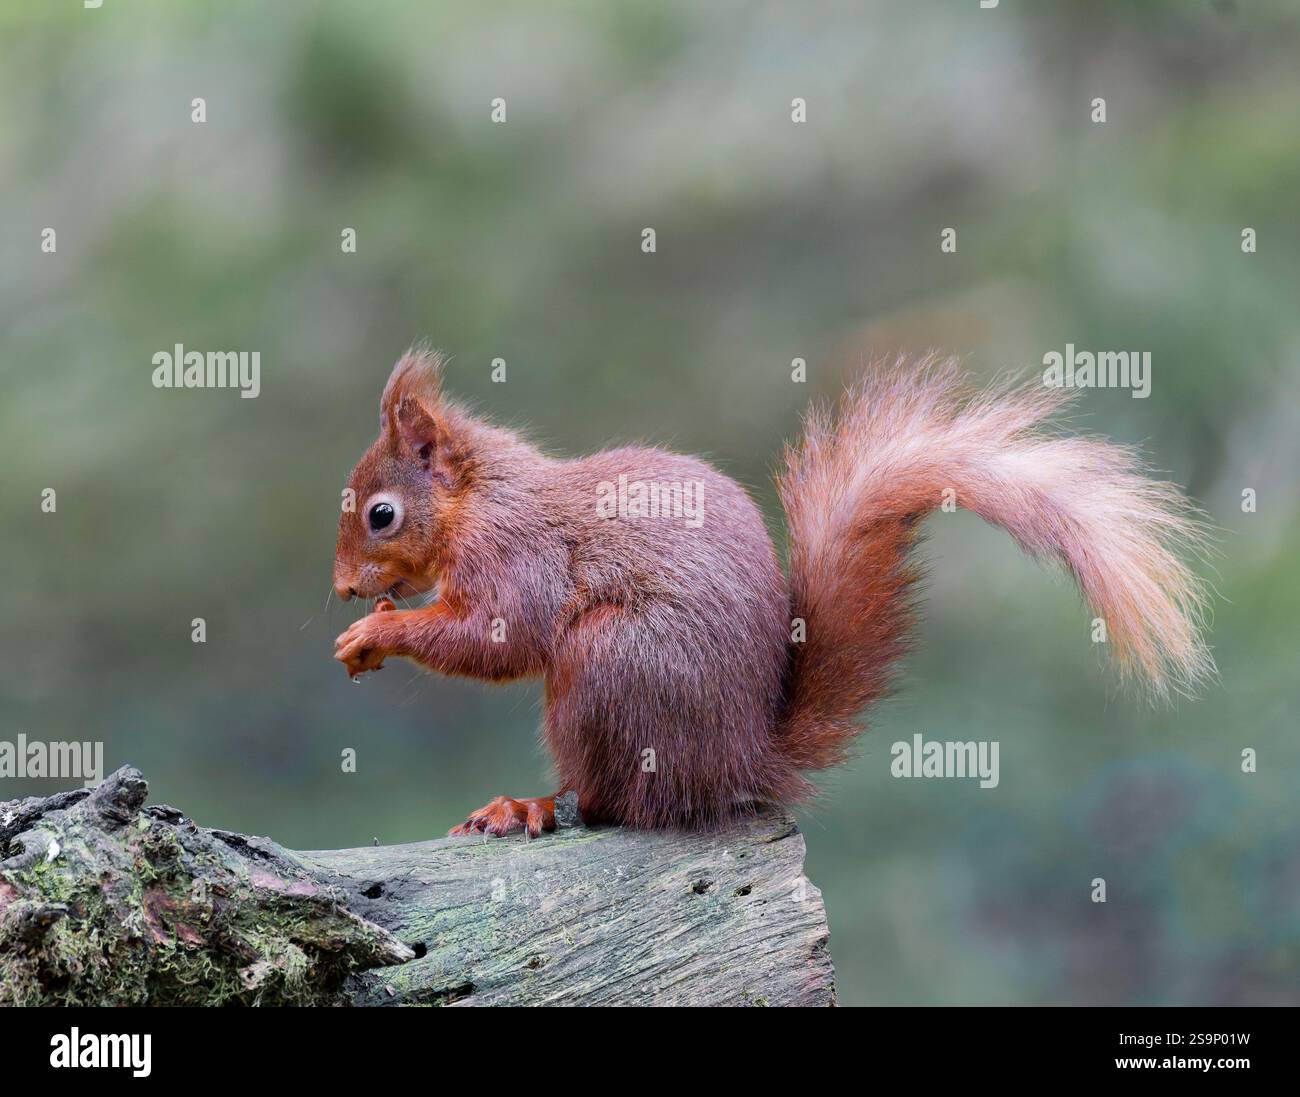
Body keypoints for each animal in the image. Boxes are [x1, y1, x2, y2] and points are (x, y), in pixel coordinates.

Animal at [333, 348, 1212, 837]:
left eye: (382, 514)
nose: (343, 588)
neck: (479, 496)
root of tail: (740, 756)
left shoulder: (517, 555)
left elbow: (499, 637)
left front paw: (378, 633)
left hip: (608, 662)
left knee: (616, 801)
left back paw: (534, 805)